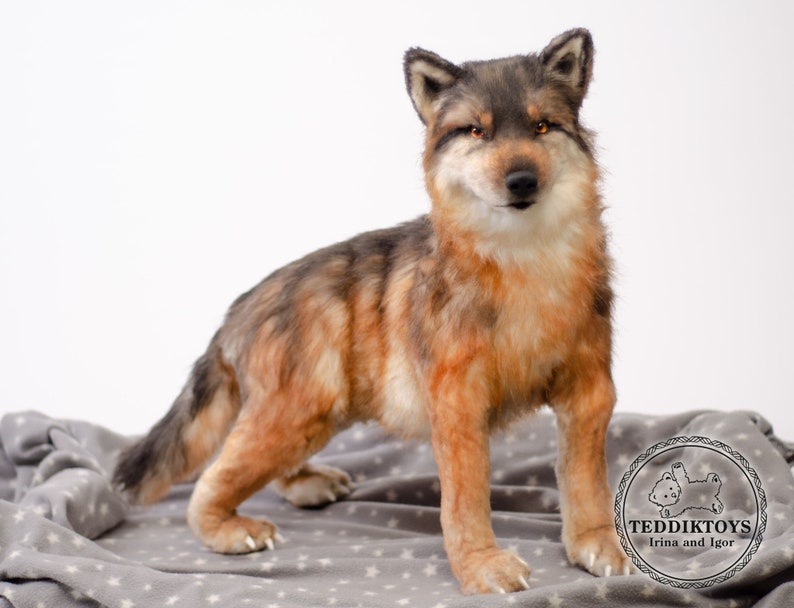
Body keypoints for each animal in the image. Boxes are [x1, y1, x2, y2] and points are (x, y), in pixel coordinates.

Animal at [113, 28, 631, 593]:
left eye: (541, 126)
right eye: (477, 131)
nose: (521, 180)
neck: (524, 260)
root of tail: (240, 307)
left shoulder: (588, 393)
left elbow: (585, 485)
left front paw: (597, 547)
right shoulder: (458, 405)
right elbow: (466, 500)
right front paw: (481, 567)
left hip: (310, 417)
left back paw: (308, 485)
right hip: (299, 415)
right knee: (209, 480)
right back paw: (232, 532)